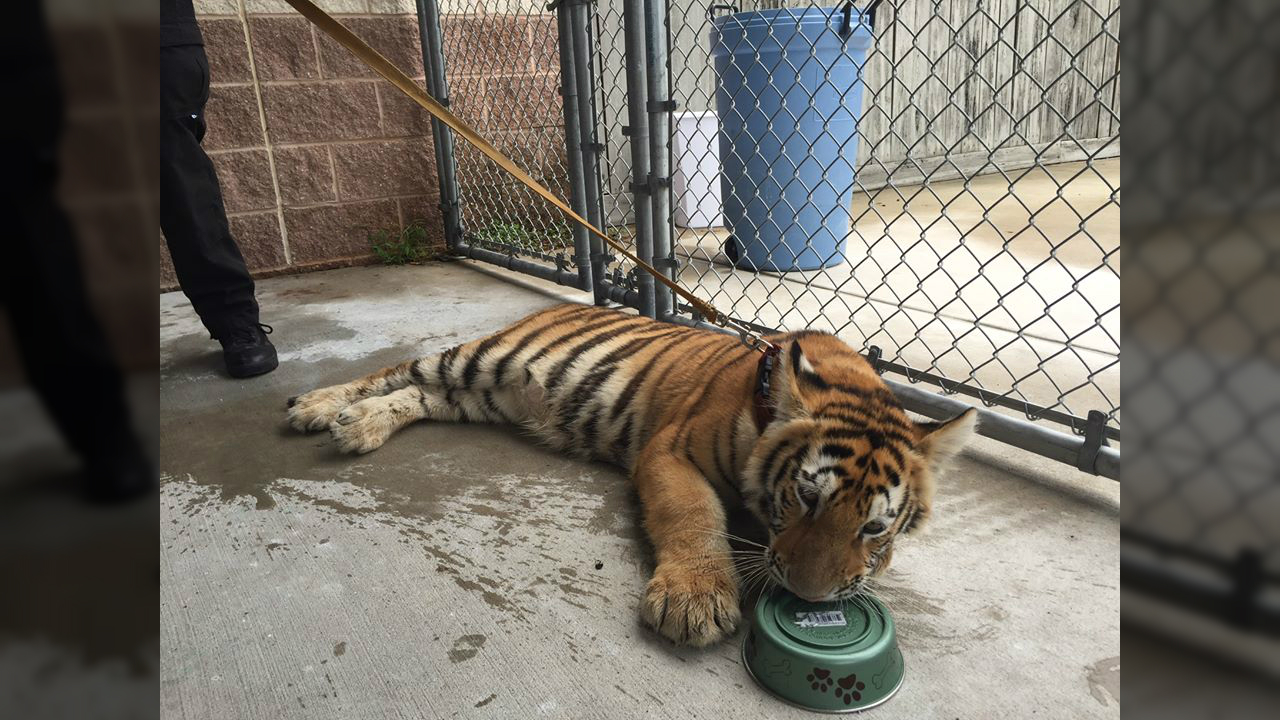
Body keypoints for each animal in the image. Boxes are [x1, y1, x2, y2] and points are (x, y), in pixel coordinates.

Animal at [286, 303, 976, 647]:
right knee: (393, 372)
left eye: (874, 528)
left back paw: (359, 426)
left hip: (478, 396)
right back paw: (318, 407)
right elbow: (694, 516)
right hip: (475, 359)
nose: (807, 599)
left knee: (417, 396)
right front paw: (695, 599)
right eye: (806, 497)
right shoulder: (671, 453)